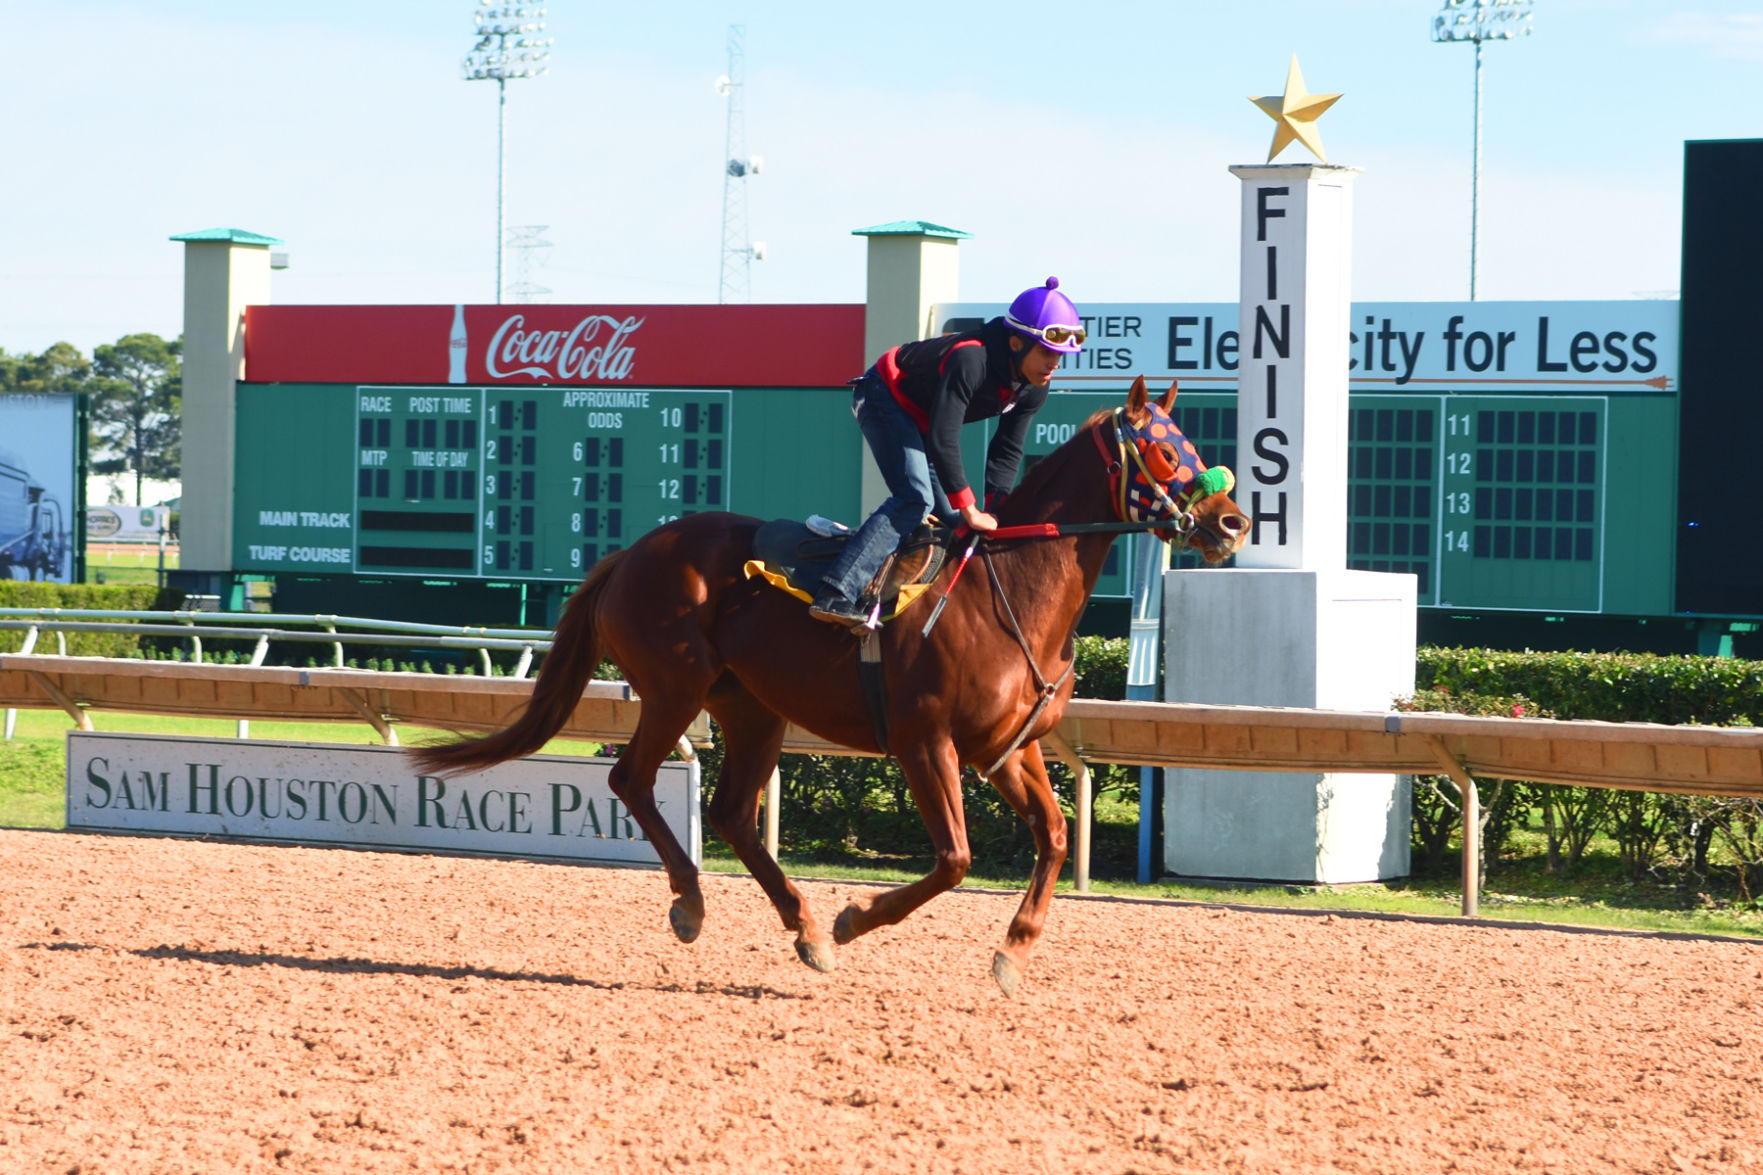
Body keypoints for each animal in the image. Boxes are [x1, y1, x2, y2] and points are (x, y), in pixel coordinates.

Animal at [409, 375, 1250, 995]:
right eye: (1162, 449)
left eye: (1191, 443)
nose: (1231, 521)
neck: (1007, 587)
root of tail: (628, 552)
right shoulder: (922, 739)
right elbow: (953, 857)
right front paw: (855, 917)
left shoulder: (1008, 748)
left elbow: (1053, 834)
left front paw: (1012, 951)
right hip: (675, 686)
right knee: (632, 778)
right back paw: (696, 901)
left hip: (751, 707)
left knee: (730, 811)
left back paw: (803, 926)